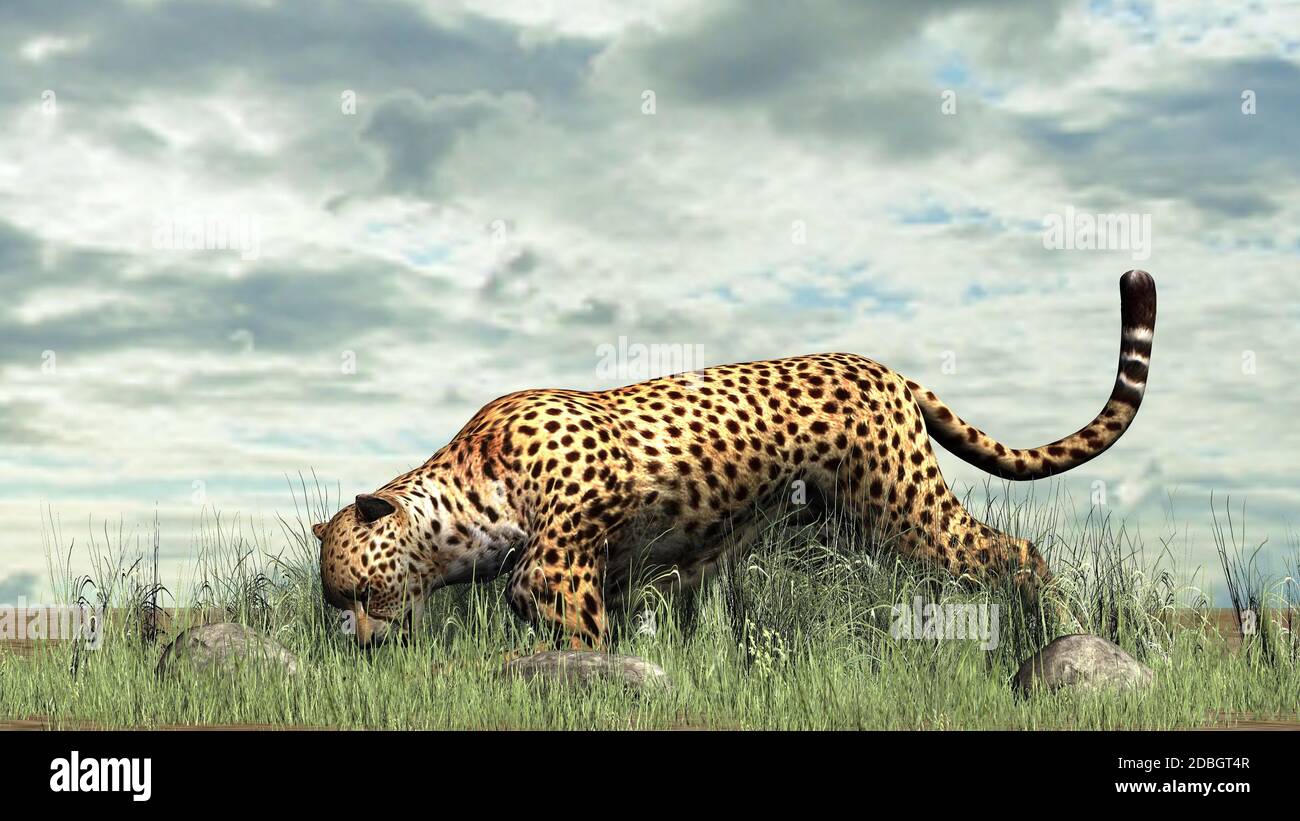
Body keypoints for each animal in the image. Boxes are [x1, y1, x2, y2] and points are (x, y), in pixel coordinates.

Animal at [313, 269, 1156, 649]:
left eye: (362, 589)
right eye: (335, 601)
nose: (359, 642)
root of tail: (880, 365)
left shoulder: (558, 566)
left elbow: (573, 633)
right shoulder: (627, 570)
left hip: (904, 508)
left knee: (1014, 551)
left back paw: (1063, 634)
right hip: (839, 525)